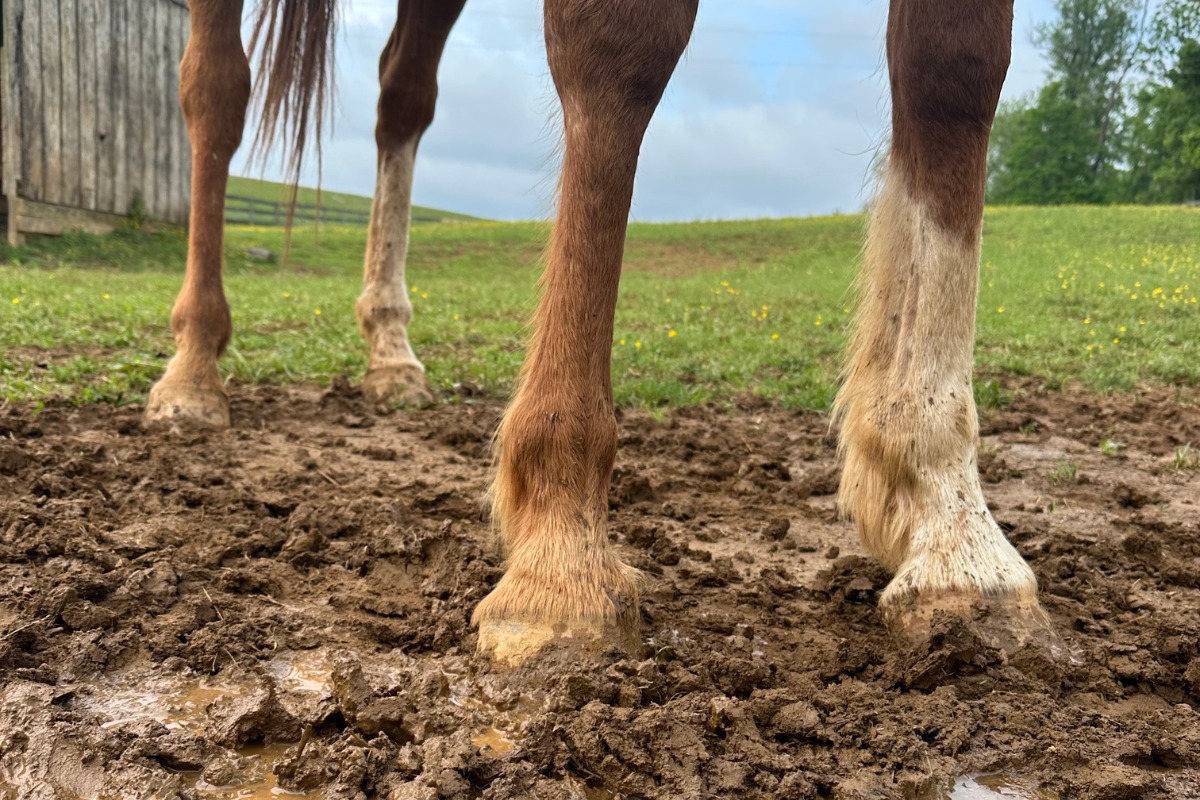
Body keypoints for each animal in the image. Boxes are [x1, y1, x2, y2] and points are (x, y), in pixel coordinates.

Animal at [144, 0, 1054, 665]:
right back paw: (193, 367)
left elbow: (954, 66)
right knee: (212, 88)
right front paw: (560, 556)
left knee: (402, 93)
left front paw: (950, 526)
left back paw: (389, 347)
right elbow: (619, 44)